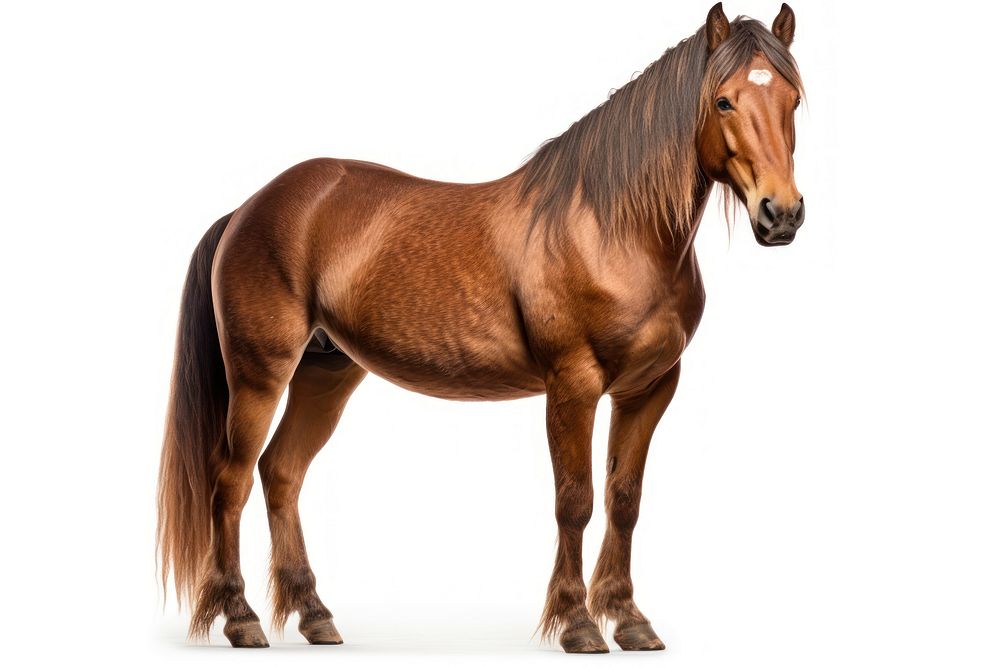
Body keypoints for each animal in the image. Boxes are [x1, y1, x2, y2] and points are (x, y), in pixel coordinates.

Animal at [157, 2, 805, 653]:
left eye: (794, 99)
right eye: (723, 101)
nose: (781, 213)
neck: (611, 229)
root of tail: (249, 207)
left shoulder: (649, 390)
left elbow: (625, 501)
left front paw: (629, 619)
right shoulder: (573, 387)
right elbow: (575, 501)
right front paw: (578, 623)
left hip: (326, 373)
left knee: (282, 473)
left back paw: (315, 614)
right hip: (260, 374)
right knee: (231, 481)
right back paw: (240, 619)